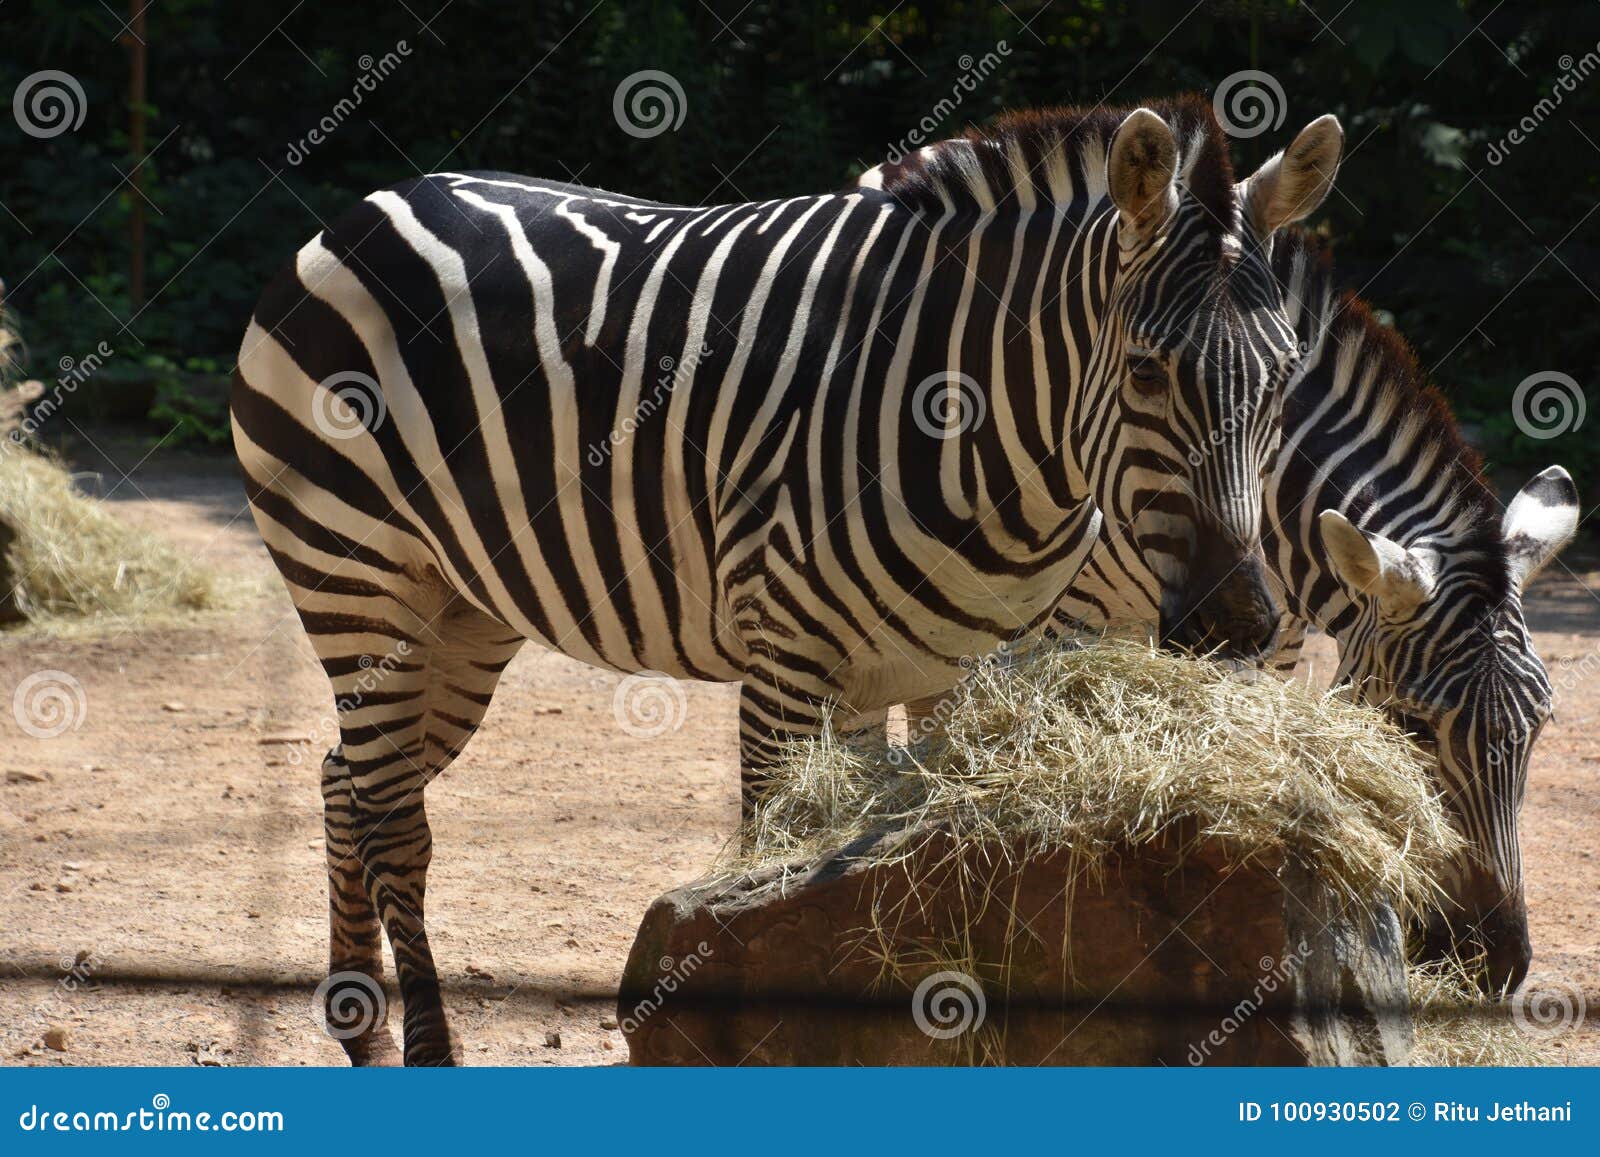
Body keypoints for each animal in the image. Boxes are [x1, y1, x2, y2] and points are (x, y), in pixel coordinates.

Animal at [231, 96, 1343, 1064]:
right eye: (1147, 369)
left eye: (1286, 374)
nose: (1238, 622)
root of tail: (366, 208)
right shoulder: (785, 662)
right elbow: (768, 866)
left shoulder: (955, 672)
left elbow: (921, 868)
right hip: (358, 580)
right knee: (394, 817)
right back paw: (420, 1051)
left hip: (462, 609)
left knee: (343, 779)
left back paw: (358, 1026)